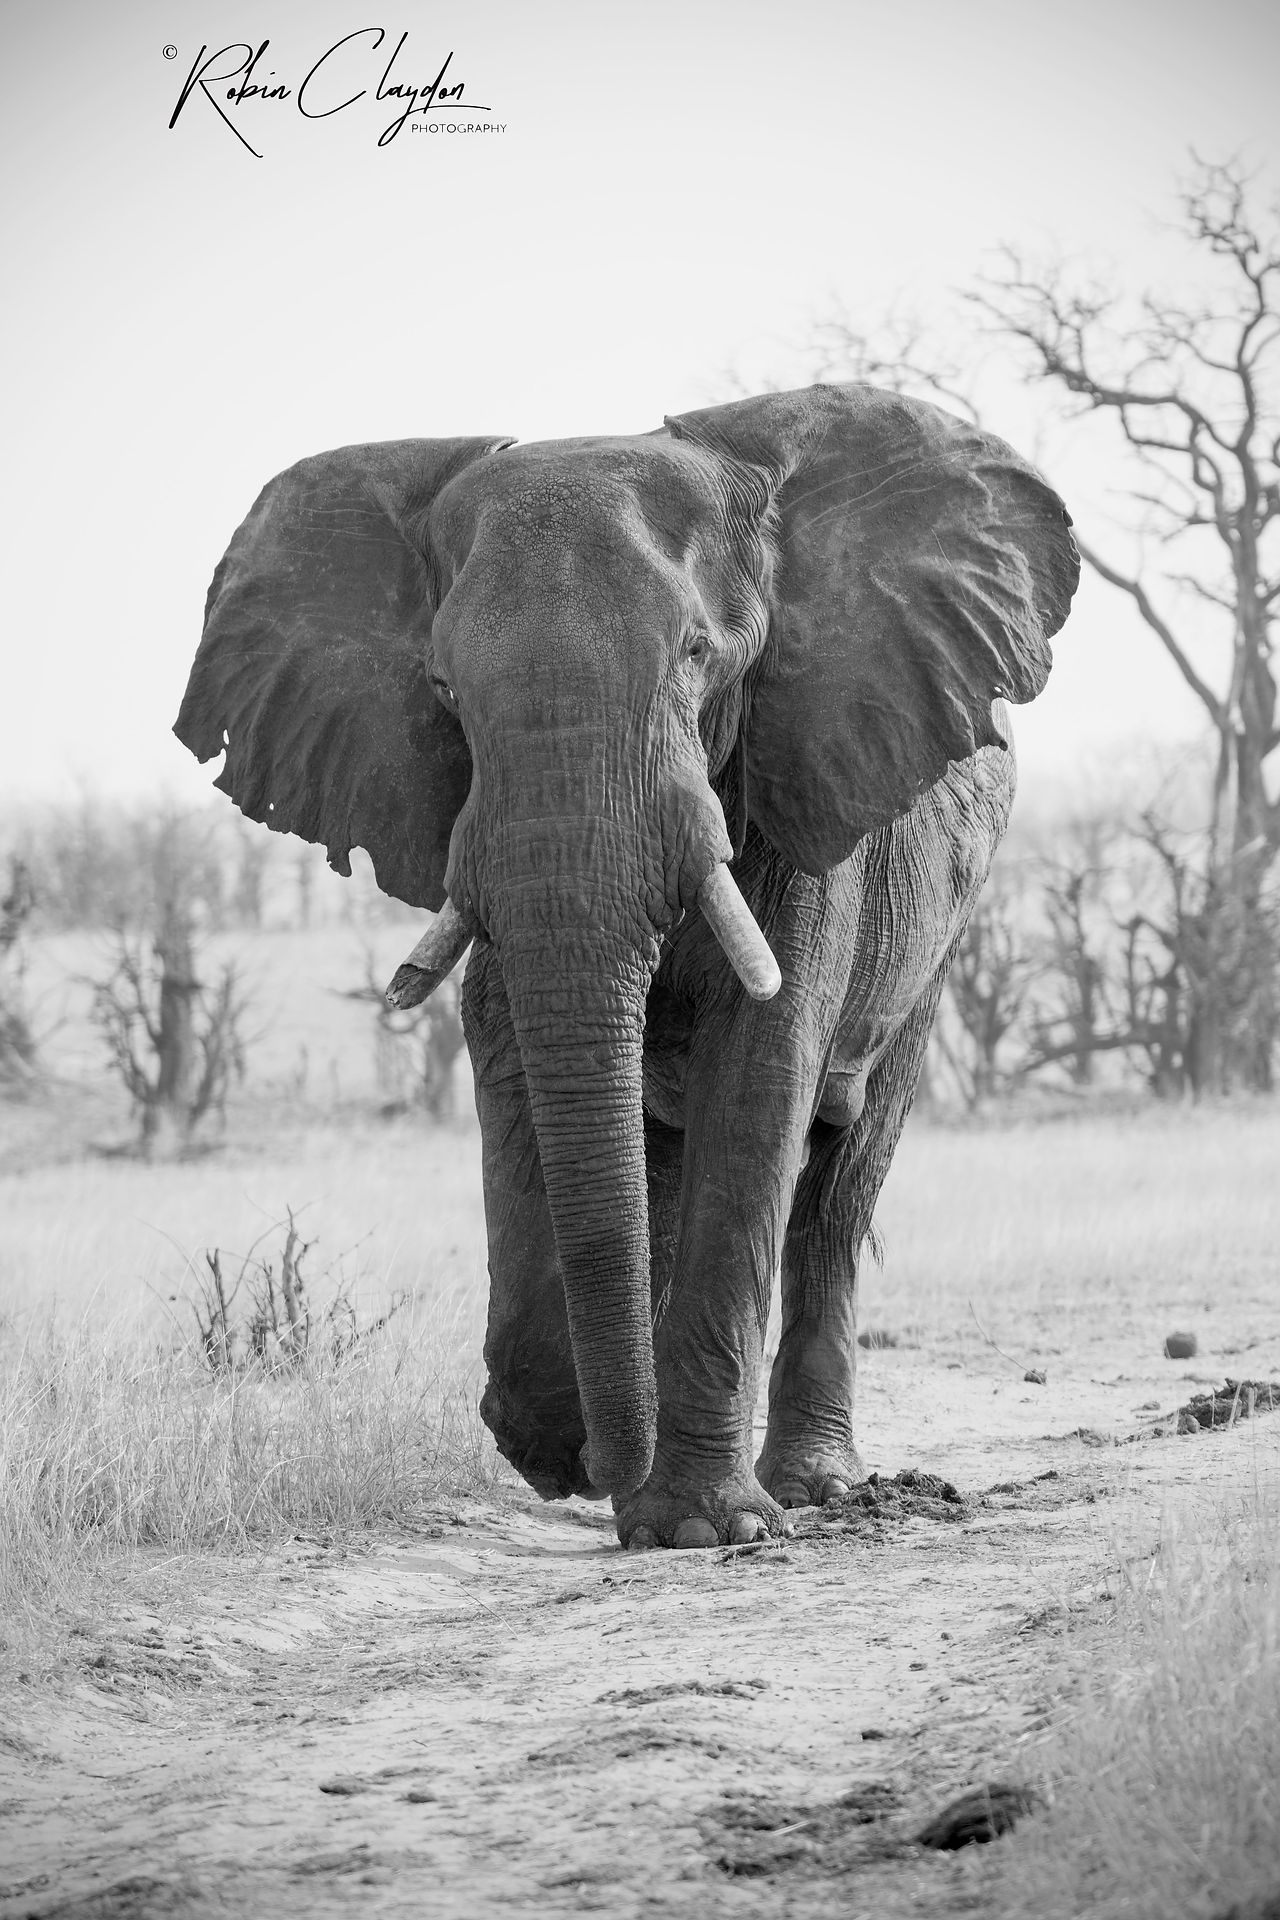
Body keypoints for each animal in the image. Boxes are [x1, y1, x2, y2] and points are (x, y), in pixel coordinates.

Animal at [175, 382, 1078, 1549]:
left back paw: (814, 1490)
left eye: (698, 654)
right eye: (442, 690)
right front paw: (564, 1450)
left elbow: (762, 1073)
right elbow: (513, 1054)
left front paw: (699, 1527)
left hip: (936, 933)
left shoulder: (800, 779)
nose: (603, 1468)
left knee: (840, 1179)